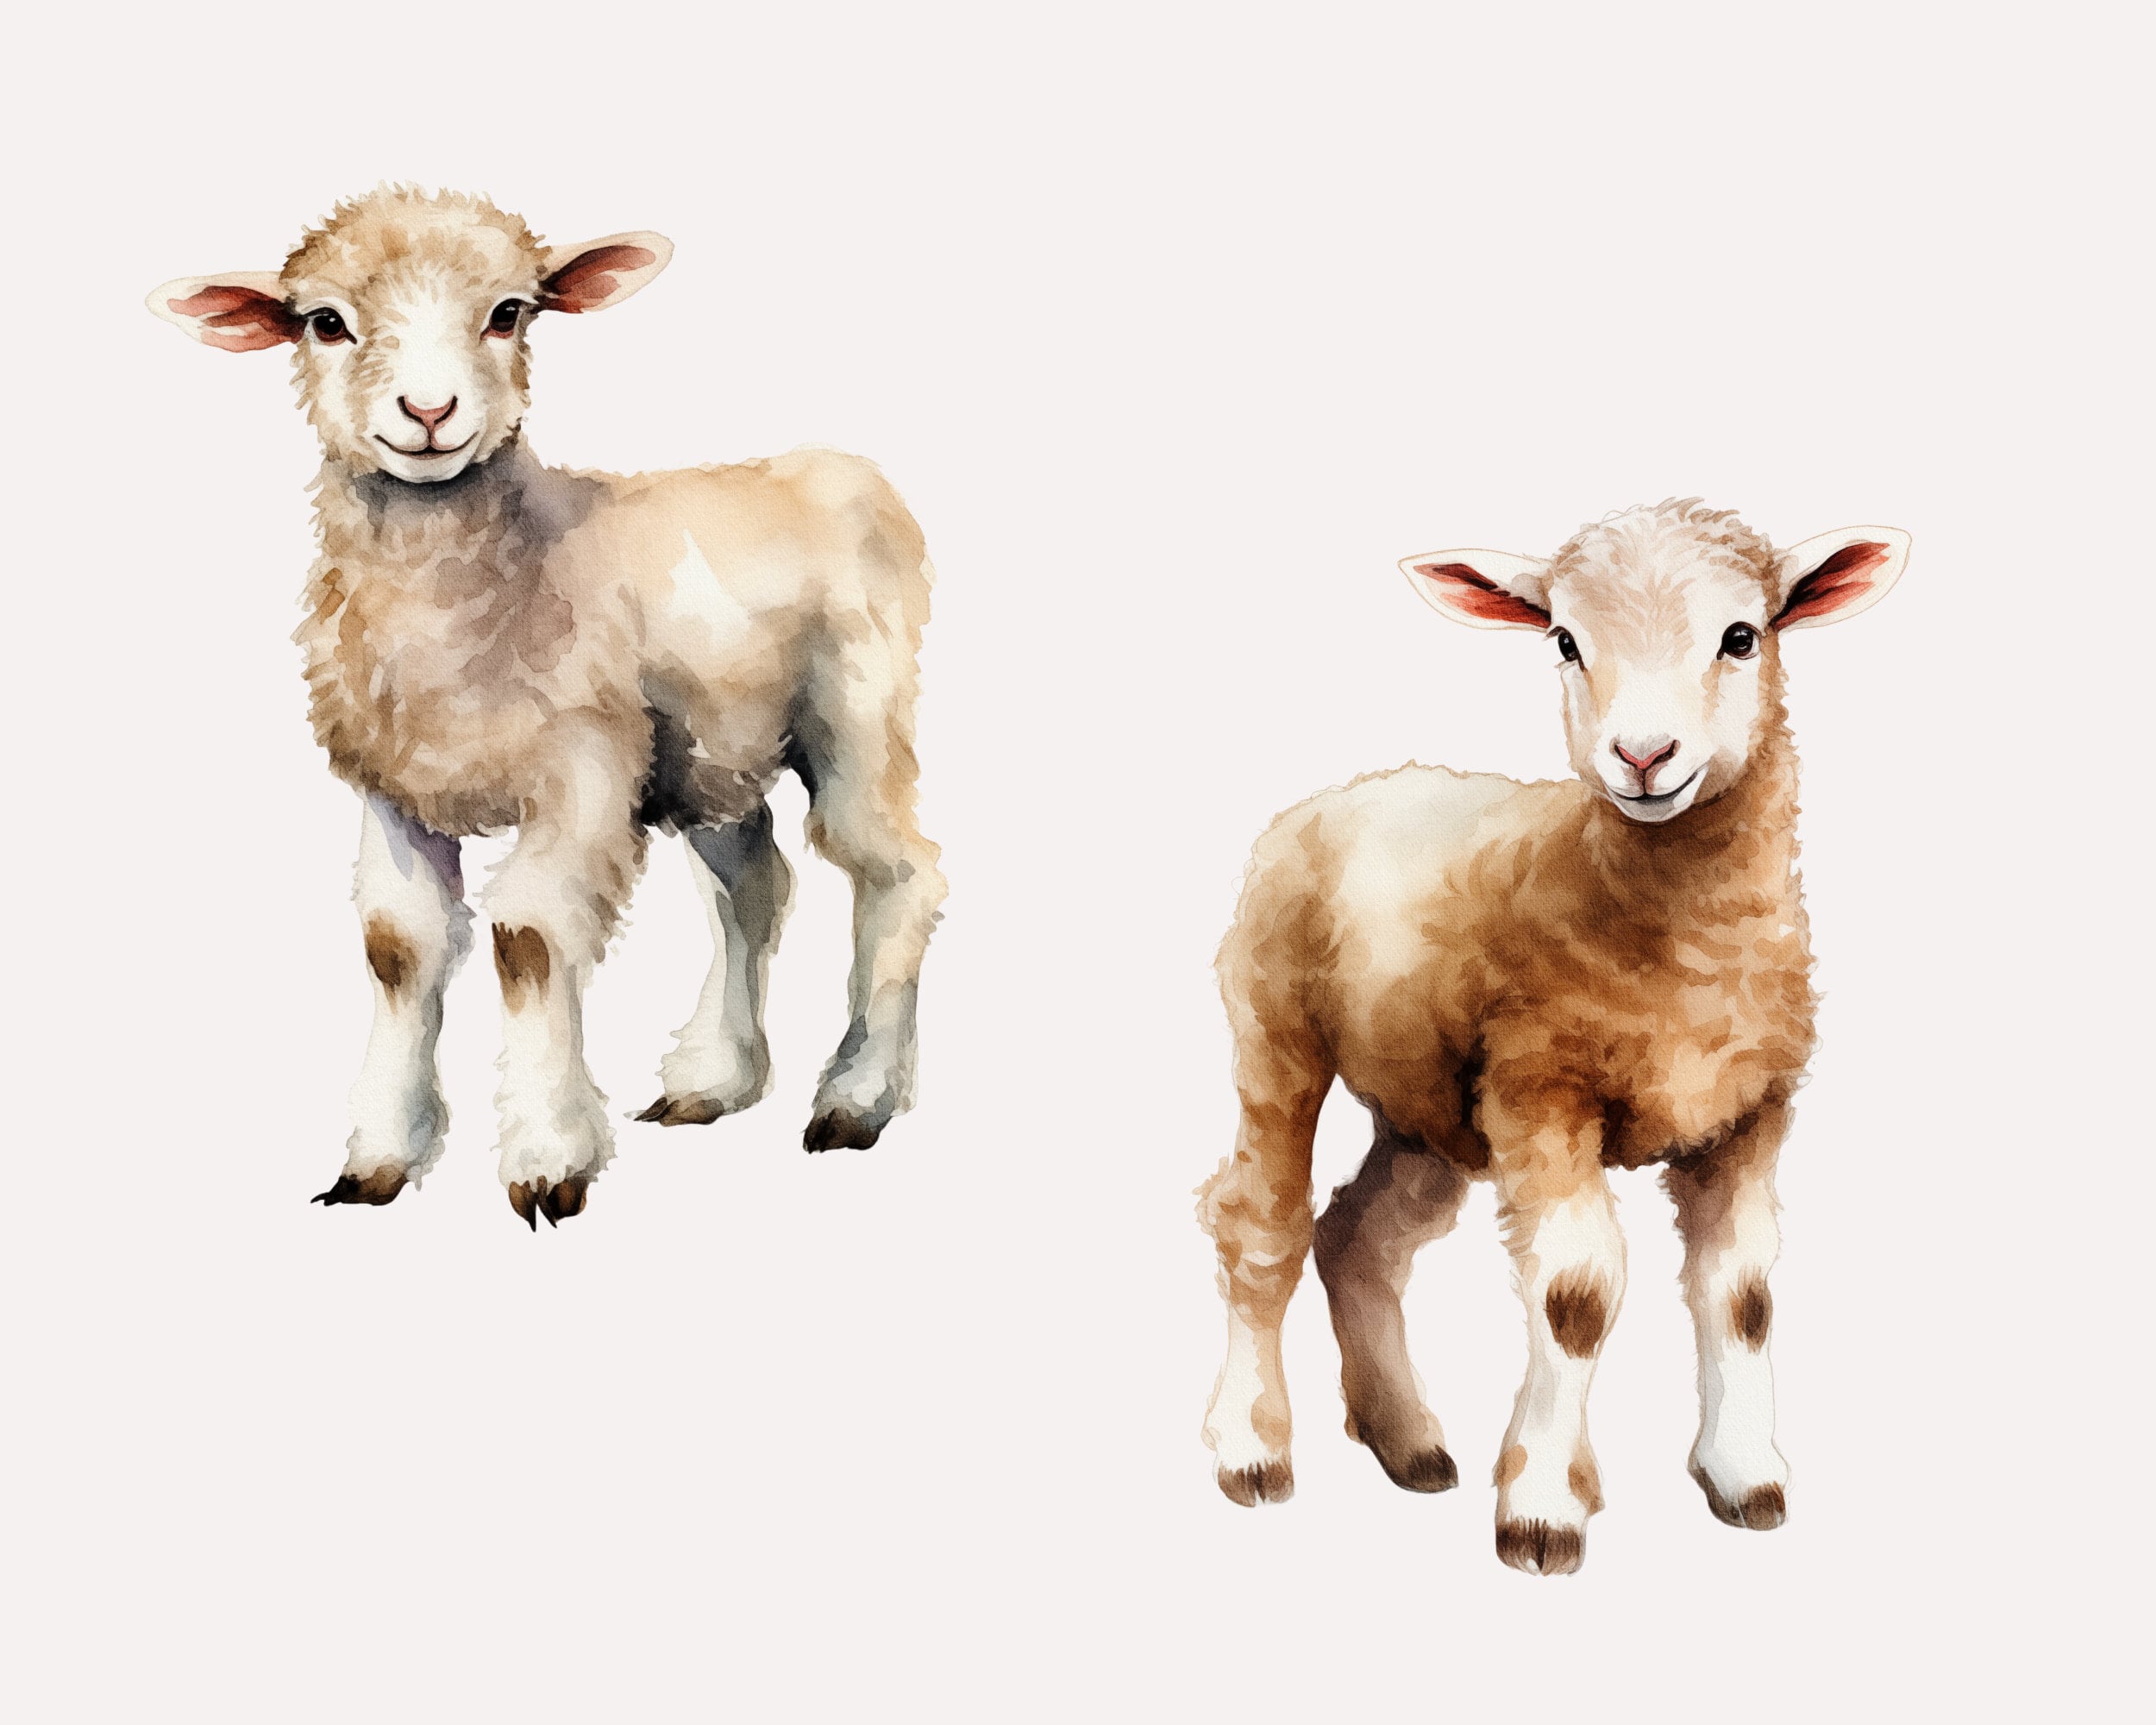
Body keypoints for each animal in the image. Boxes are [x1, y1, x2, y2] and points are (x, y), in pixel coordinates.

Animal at [148, 187, 947, 1227]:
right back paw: (713, 1078)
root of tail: (838, 463)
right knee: (753, 885)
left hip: (856, 713)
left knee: (895, 872)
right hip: (705, 751)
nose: (430, 412)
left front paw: (546, 1158)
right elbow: (398, 947)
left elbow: (527, 939)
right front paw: (379, 1157)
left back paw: (856, 1095)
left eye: (509, 313)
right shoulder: (393, 788)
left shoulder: (583, 773)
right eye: (324, 322)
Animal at [1198, 499, 1908, 1573]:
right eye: (1564, 640)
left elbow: (1740, 1293)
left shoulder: (1748, 1111)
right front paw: (1541, 1507)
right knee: (1261, 1222)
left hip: (1431, 1103)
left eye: (1742, 636)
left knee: (1359, 1237)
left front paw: (1746, 1475)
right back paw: (1251, 1445)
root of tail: (1359, 783)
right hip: (1276, 1029)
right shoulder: (1543, 1088)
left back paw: (1407, 1440)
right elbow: (1576, 1293)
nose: (1643, 756)